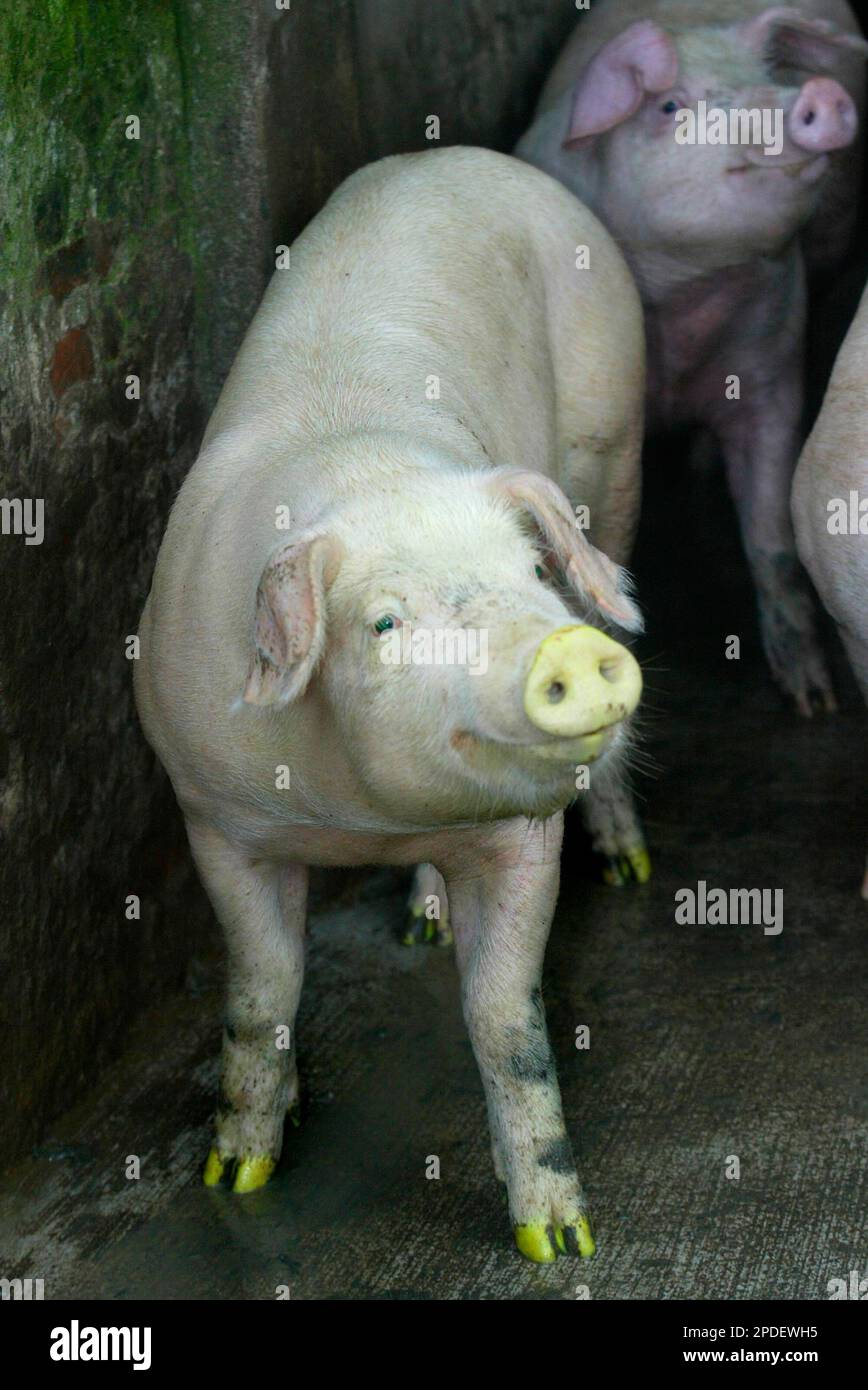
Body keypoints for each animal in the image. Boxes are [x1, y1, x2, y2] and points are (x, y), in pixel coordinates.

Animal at [134, 148, 649, 1262]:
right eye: (382, 623)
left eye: (530, 574)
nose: (562, 643)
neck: (362, 815)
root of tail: (458, 155)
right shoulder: (212, 815)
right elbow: (261, 994)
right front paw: (236, 1174)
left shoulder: (524, 837)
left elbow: (507, 1025)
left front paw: (562, 1243)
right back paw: (421, 927)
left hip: (617, 439)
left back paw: (630, 865)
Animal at [517, 0, 868, 716]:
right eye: (671, 106)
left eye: (771, 78)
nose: (816, 95)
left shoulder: (772, 373)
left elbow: (772, 540)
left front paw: (813, 702)